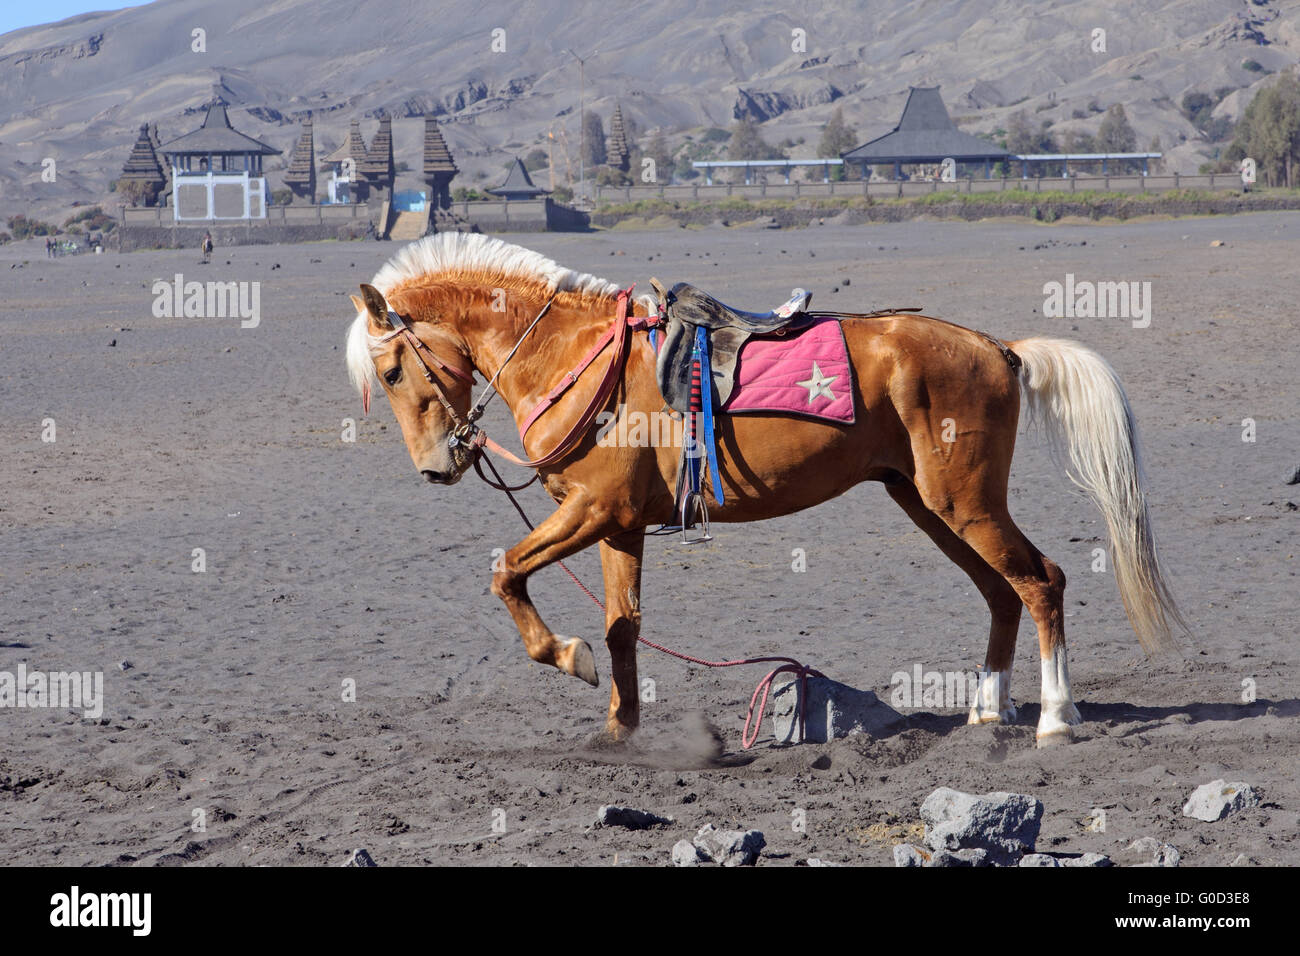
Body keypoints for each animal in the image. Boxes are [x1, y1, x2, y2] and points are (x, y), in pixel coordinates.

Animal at [344, 233, 1185, 747]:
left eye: (392, 369)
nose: (436, 466)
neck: (576, 357)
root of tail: (999, 348)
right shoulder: (620, 524)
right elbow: (622, 628)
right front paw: (621, 725)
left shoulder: (594, 511)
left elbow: (508, 575)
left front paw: (566, 656)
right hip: (928, 505)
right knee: (1001, 593)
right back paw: (988, 708)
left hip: (966, 503)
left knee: (1042, 581)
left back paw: (1055, 718)